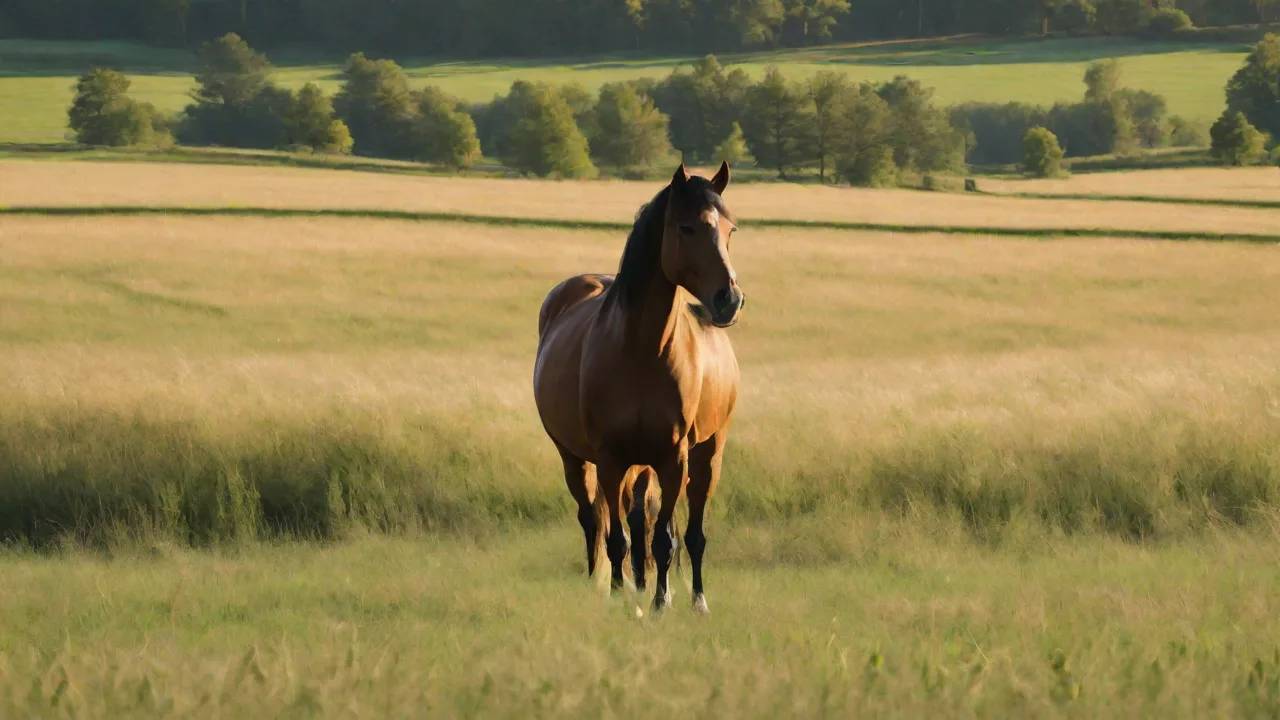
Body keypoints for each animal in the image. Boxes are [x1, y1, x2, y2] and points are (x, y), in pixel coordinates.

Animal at [533, 162, 745, 613]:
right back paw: (610, 581)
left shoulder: (673, 457)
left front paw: (662, 601)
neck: (642, 350)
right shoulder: (611, 459)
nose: (729, 300)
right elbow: (617, 537)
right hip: (576, 459)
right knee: (595, 519)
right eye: (687, 228)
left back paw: (693, 598)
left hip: (706, 455)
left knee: (687, 531)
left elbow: (664, 537)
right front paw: (620, 594)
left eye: (730, 229)